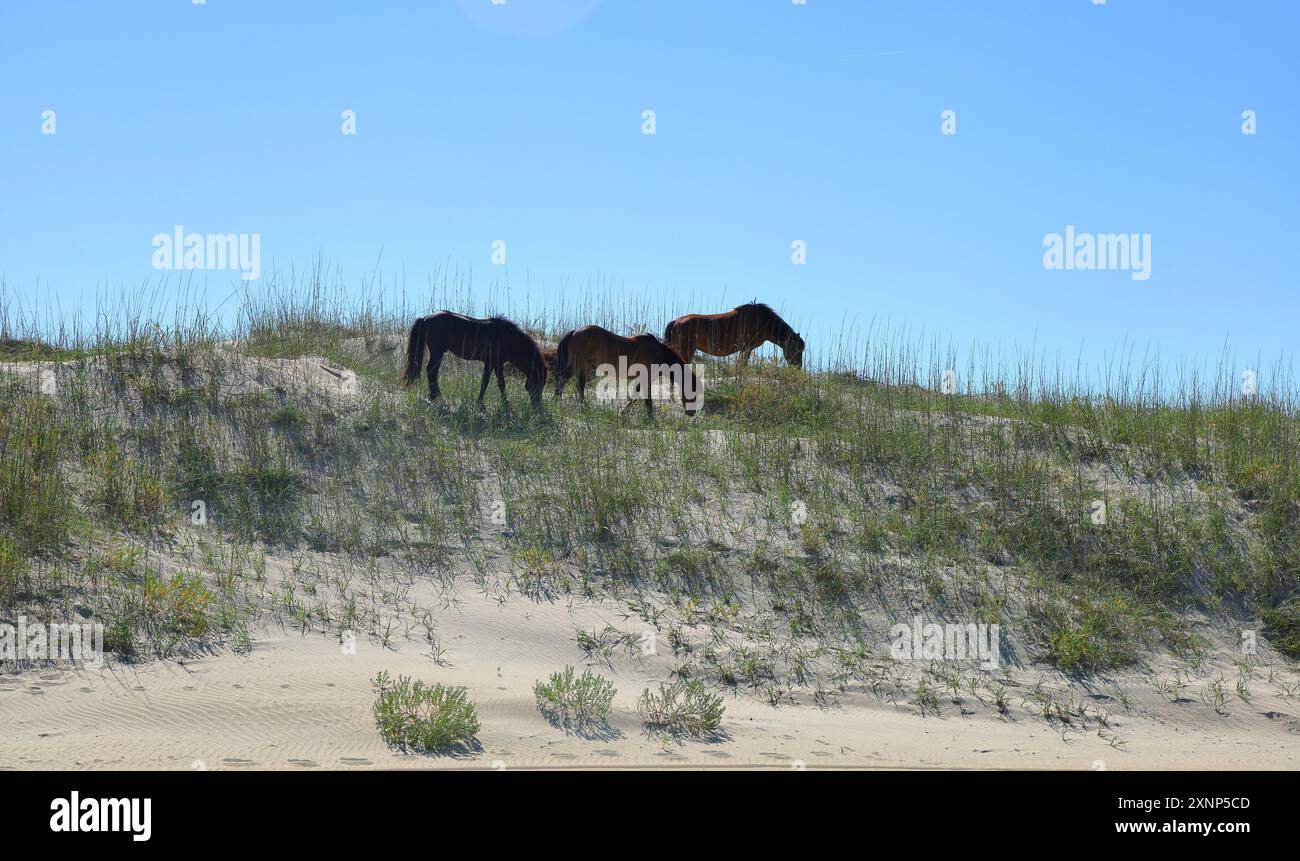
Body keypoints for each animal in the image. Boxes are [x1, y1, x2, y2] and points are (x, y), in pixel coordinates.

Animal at [402, 312, 548, 408]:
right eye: (539, 383)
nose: (538, 406)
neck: (507, 338)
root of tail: (425, 318)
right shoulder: (495, 363)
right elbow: (496, 383)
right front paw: (501, 404)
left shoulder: (492, 364)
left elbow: (489, 382)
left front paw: (483, 402)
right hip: (437, 352)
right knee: (431, 370)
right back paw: (435, 396)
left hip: (438, 353)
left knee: (432, 371)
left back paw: (435, 395)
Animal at [551, 325, 700, 417]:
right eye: (693, 392)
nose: (691, 413)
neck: (658, 353)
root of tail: (575, 331)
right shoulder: (645, 377)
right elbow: (643, 398)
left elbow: (639, 396)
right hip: (580, 366)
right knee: (572, 383)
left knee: (568, 381)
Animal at [663, 302, 805, 368]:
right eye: (796, 349)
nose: (798, 367)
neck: (764, 321)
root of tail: (675, 321)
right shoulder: (746, 348)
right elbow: (743, 363)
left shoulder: (746, 349)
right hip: (685, 350)